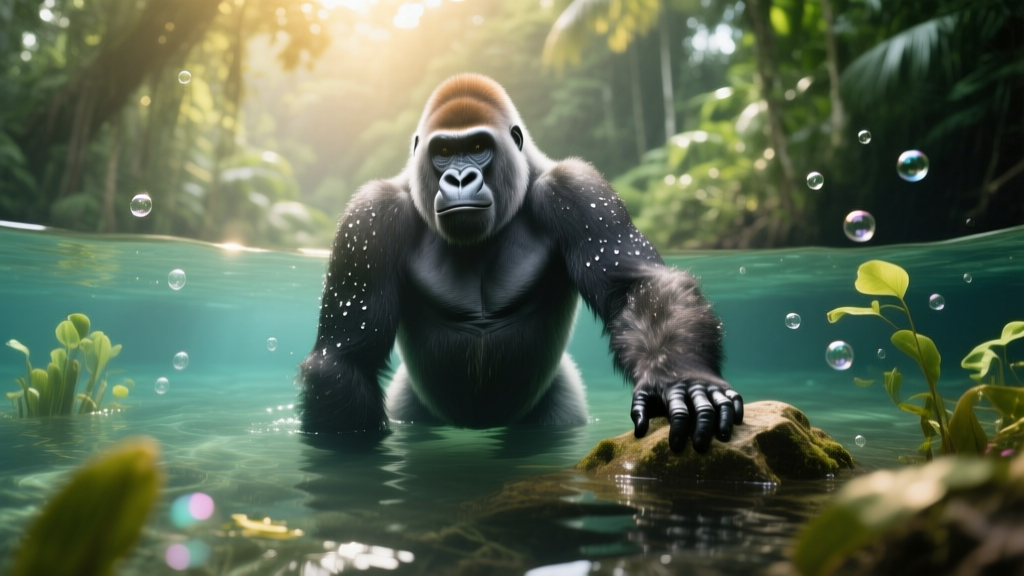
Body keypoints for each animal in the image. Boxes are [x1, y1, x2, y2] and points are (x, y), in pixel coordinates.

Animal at [299, 74, 743, 453]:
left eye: (478, 147)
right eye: (444, 152)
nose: (459, 180)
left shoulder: (577, 188)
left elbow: (635, 288)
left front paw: (681, 377)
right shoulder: (371, 215)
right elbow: (345, 359)